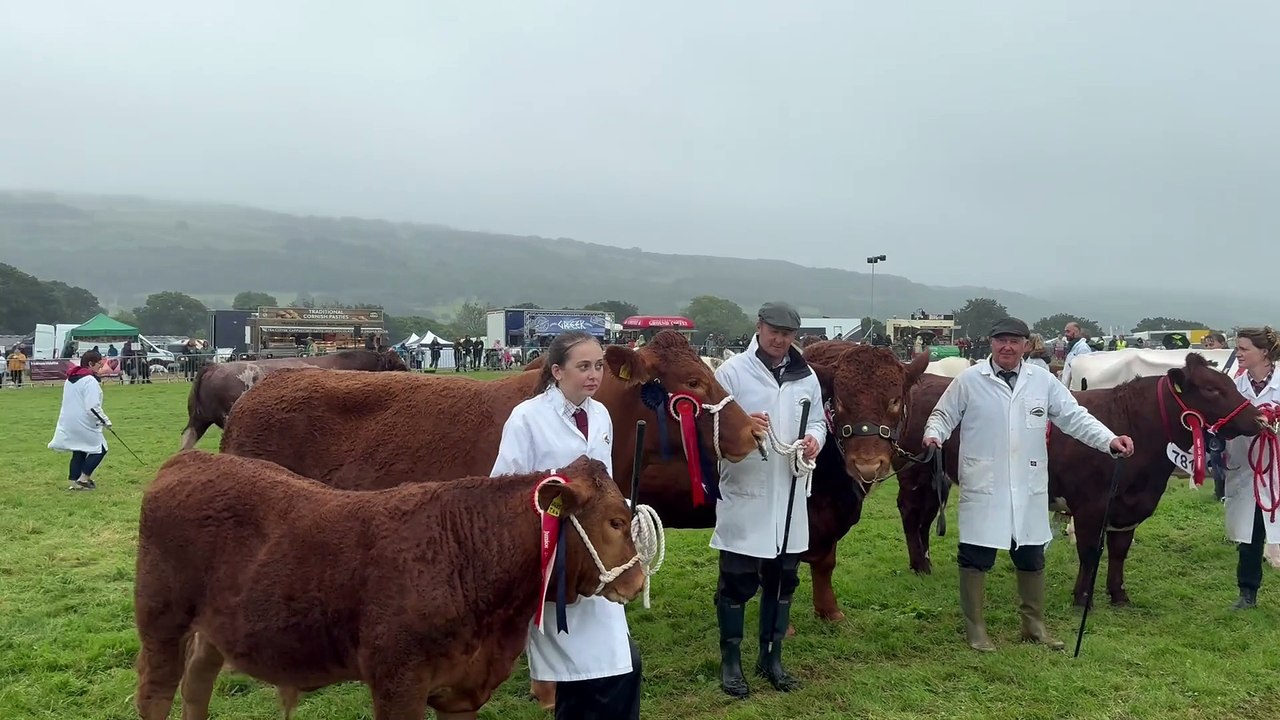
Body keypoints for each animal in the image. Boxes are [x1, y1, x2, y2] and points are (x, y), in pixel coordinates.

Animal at [133, 451, 644, 720]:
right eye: (616, 521)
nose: (637, 580)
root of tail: (189, 459)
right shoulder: (398, 682)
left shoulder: (462, 691)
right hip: (160, 621)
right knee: (157, 693)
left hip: (213, 629)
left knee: (197, 684)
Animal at [893, 353, 1263, 608]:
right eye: (1212, 389)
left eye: (1231, 384)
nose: (1258, 419)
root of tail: (924, 378)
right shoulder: (1090, 504)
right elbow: (1089, 552)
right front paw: (1083, 597)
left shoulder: (1127, 508)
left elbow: (1119, 551)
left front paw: (1119, 595)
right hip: (914, 471)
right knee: (910, 513)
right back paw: (918, 564)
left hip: (935, 475)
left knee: (925, 516)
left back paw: (924, 564)